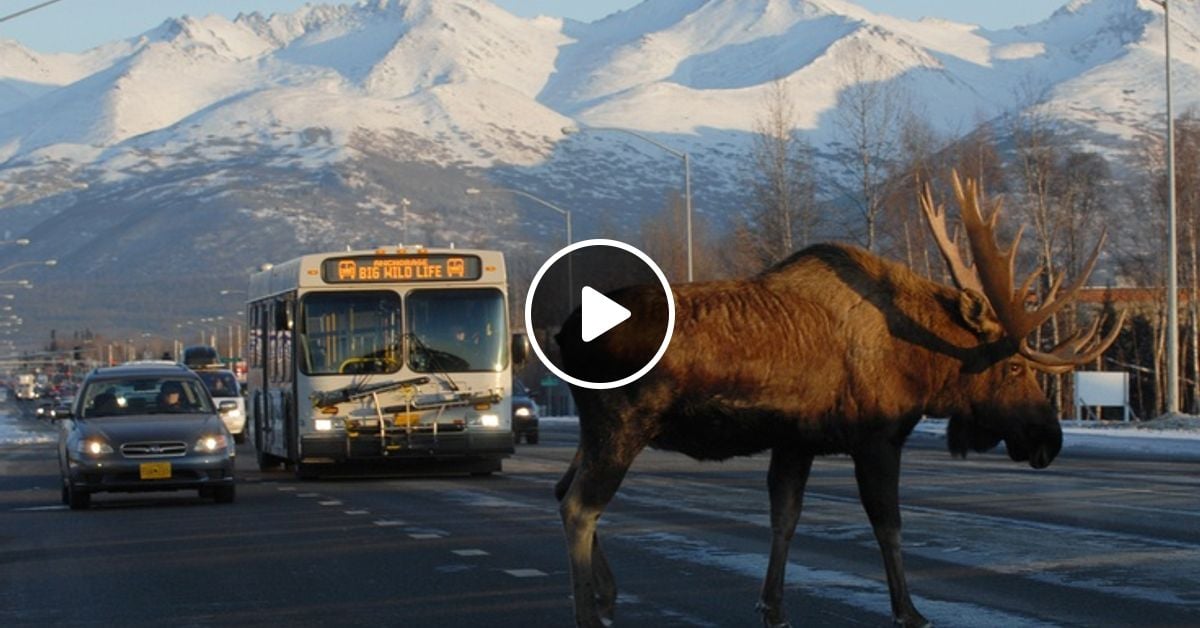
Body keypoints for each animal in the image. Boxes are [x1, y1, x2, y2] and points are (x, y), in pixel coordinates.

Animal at [553, 171, 1124, 627]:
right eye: (1015, 367)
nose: (1049, 439)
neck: (921, 364)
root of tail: (560, 334)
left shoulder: (796, 442)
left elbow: (785, 519)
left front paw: (774, 608)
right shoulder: (877, 438)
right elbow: (888, 525)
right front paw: (909, 611)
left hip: (596, 425)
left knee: (562, 490)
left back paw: (607, 596)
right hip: (625, 421)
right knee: (582, 506)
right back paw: (589, 612)